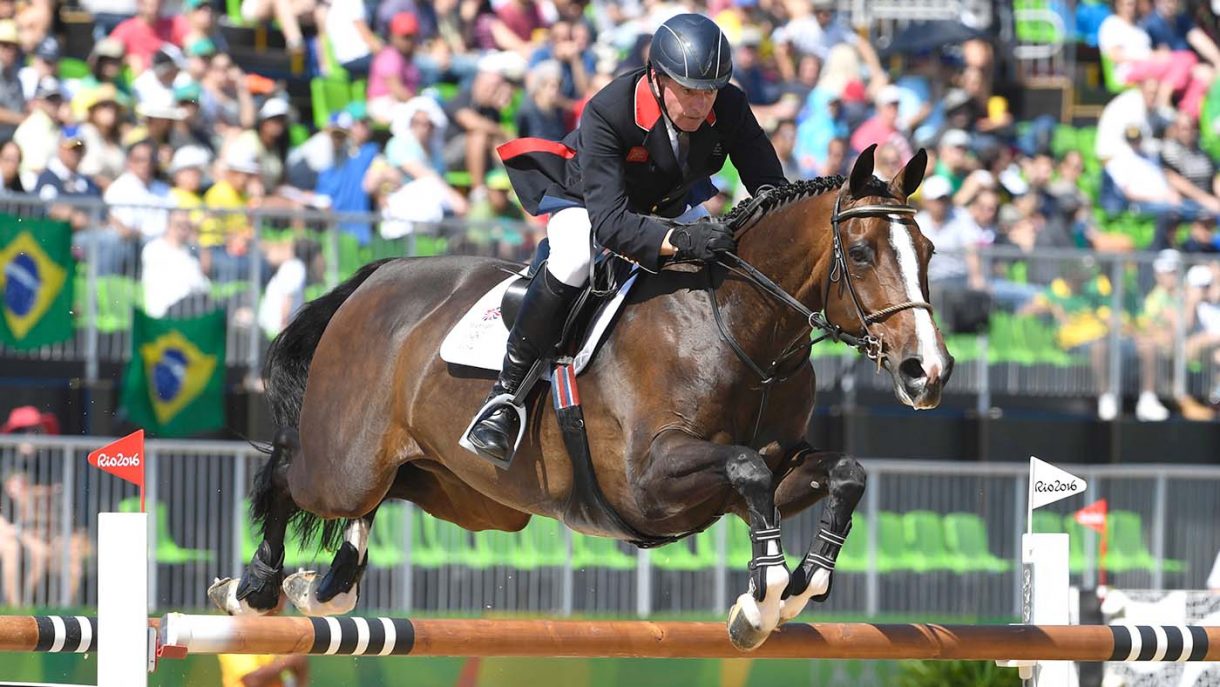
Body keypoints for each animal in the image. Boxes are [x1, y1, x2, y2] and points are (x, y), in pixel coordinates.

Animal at [208, 144, 953, 651]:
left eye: (929, 250)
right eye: (862, 253)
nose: (929, 371)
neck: (737, 325)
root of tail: (373, 278)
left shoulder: (779, 463)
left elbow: (840, 473)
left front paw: (800, 586)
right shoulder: (649, 480)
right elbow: (745, 472)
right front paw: (762, 600)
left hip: (466, 495)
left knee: (378, 502)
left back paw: (325, 585)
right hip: (347, 464)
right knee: (288, 473)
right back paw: (254, 589)